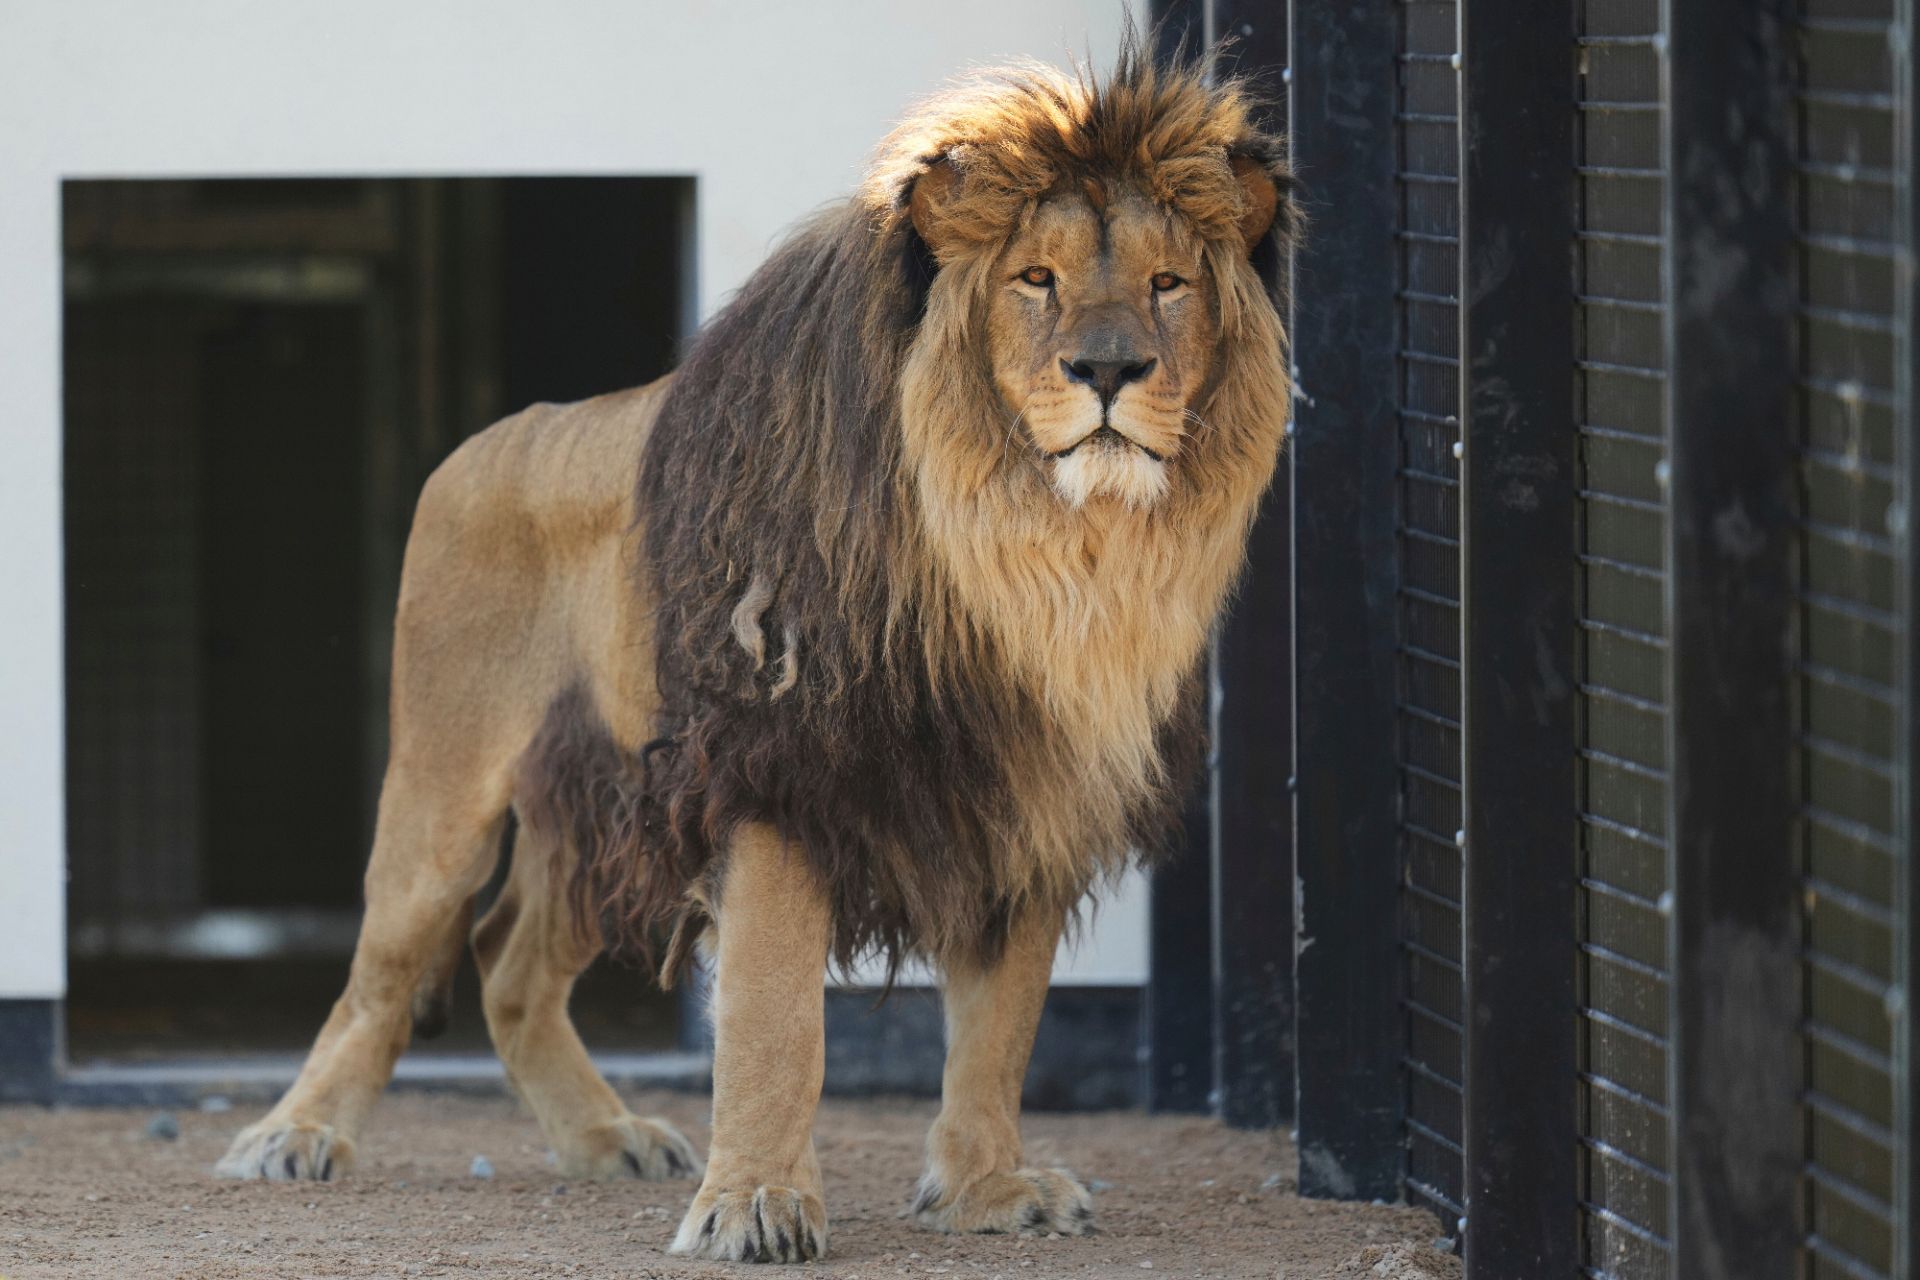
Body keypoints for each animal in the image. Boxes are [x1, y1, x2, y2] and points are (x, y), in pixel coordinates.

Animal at [214, 37, 1296, 1265]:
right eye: (1036, 280)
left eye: (1168, 284)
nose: (1108, 370)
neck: (1036, 556)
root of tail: (492, 437)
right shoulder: (774, 767)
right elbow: (775, 1015)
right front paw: (758, 1205)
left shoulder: (1026, 796)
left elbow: (1001, 1023)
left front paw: (986, 1185)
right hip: (445, 786)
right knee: (387, 969)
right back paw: (293, 1135)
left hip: (611, 798)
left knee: (507, 962)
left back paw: (606, 1139)